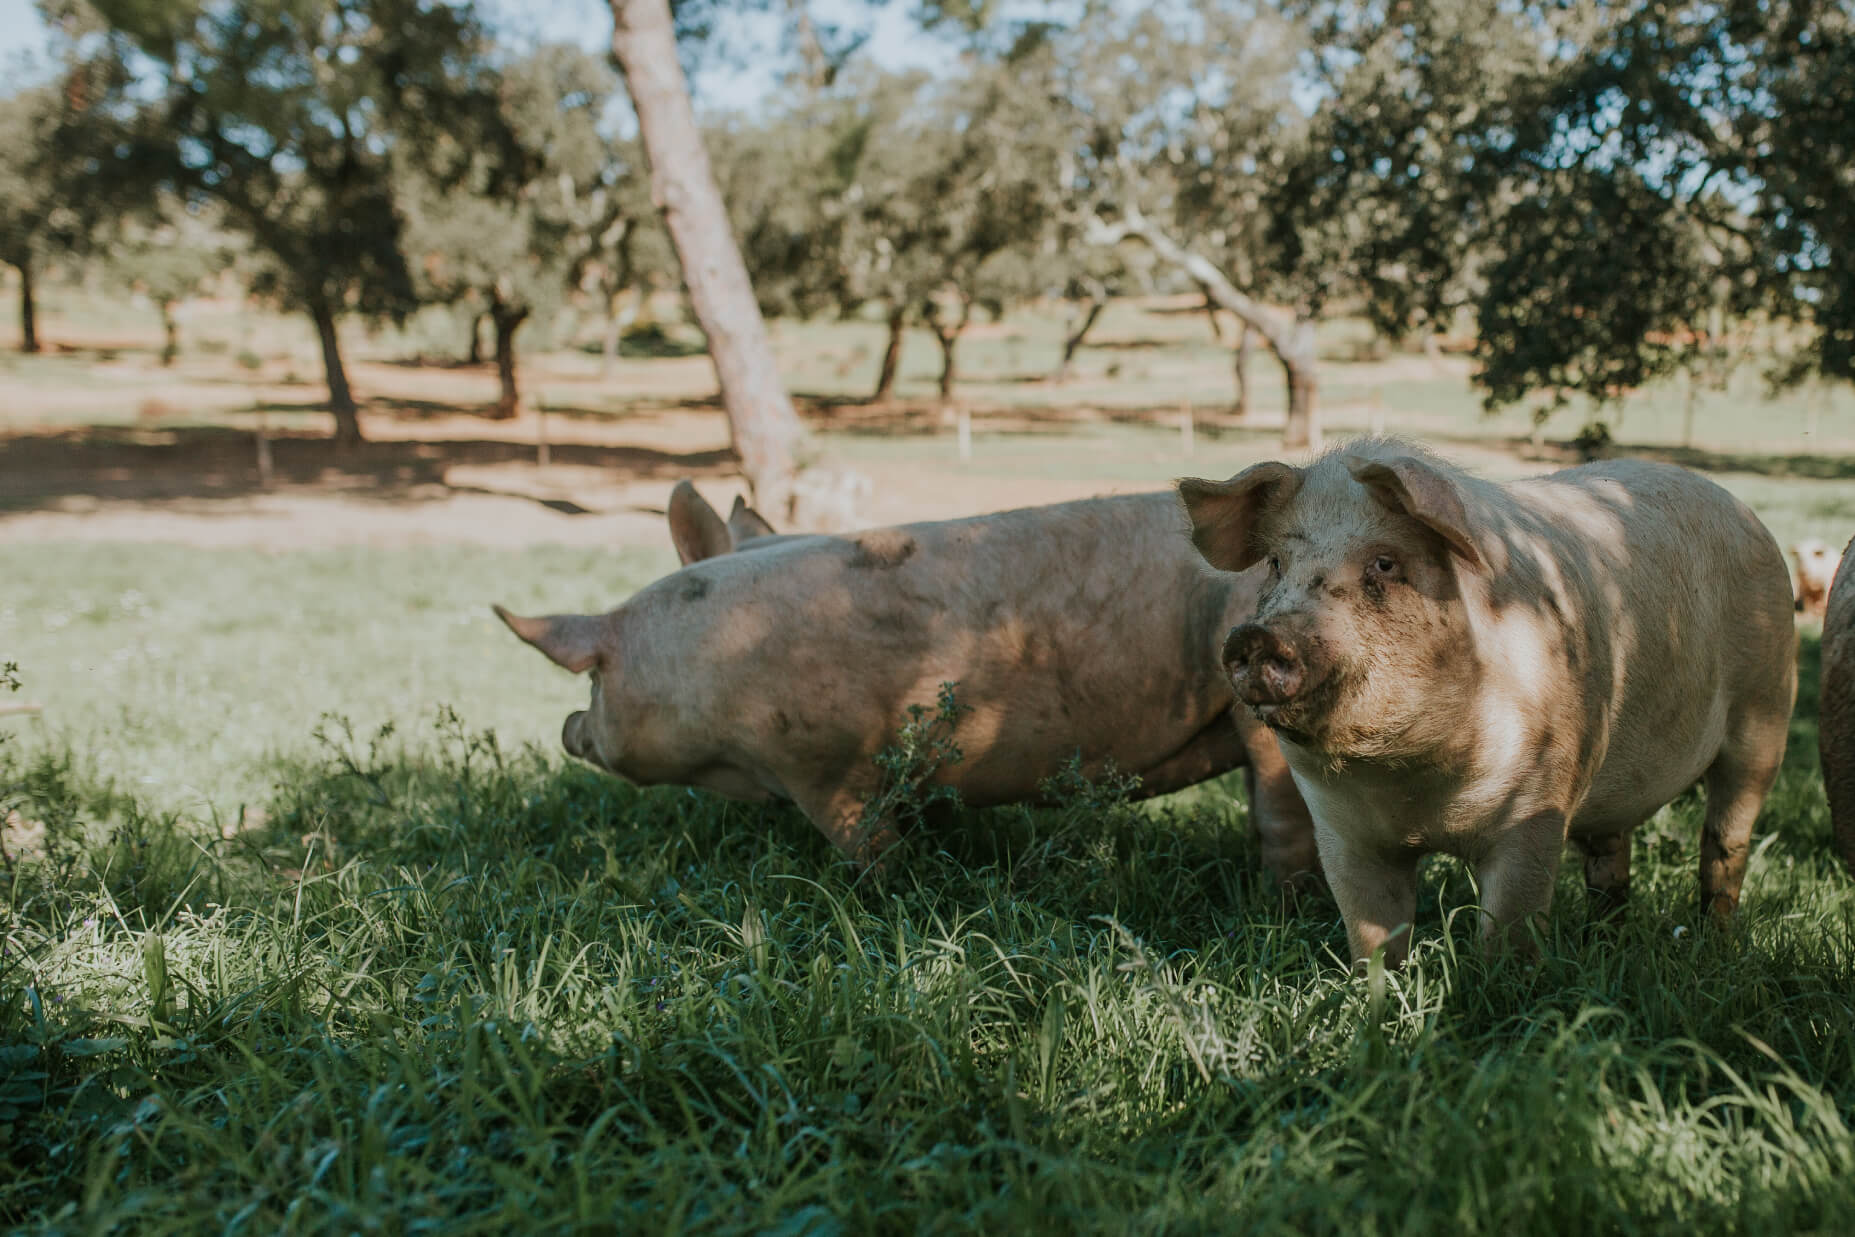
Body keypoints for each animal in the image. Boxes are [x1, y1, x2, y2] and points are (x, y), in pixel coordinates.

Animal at [497, 482, 1319, 885]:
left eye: (592, 677)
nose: (569, 728)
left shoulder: (823, 766)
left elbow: (869, 845)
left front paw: (892, 891)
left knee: (1282, 816)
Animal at [1182, 439, 1796, 967]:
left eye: (1385, 562)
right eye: (1276, 565)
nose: (1256, 636)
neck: (1411, 787)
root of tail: (1745, 511)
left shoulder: (1539, 803)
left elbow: (1510, 925)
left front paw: (1502, 989)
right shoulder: (1341, 831)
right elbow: (1372, 933)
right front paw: (1376, 1001)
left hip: (1766, 712)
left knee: (1727, 840)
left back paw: (1716, 939)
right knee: (1609, 857)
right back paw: (1605, 939)